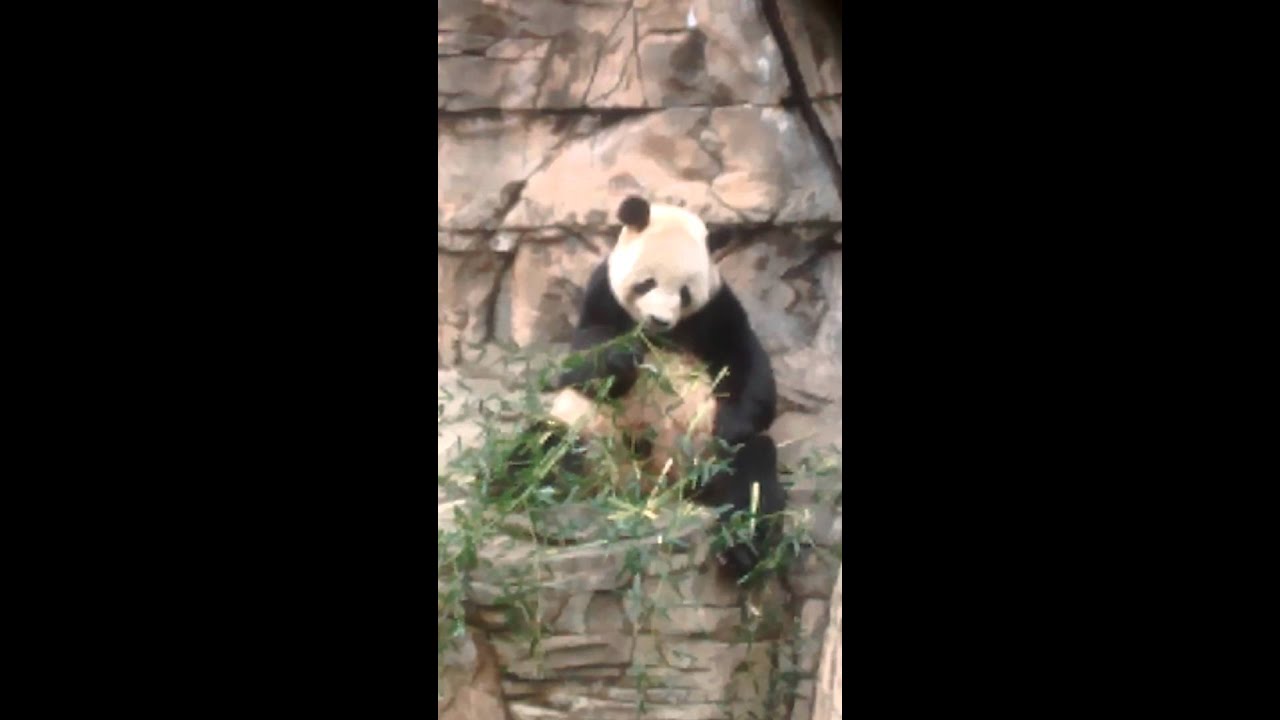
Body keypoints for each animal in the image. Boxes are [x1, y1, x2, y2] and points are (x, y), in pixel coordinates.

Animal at [507, 195, 785, 579]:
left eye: (685, 293)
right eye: (647, 283)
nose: (659, 320)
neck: (658, 337)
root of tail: (645, 490)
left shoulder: (716, 310)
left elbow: (749, 365)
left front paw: (731, 423)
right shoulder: (602, 296)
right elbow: (580, 363)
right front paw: (621, 357)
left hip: (707, 461)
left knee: (751, 471)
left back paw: (744, 547)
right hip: (588, 438)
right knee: (546, 444)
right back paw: (513, 487)